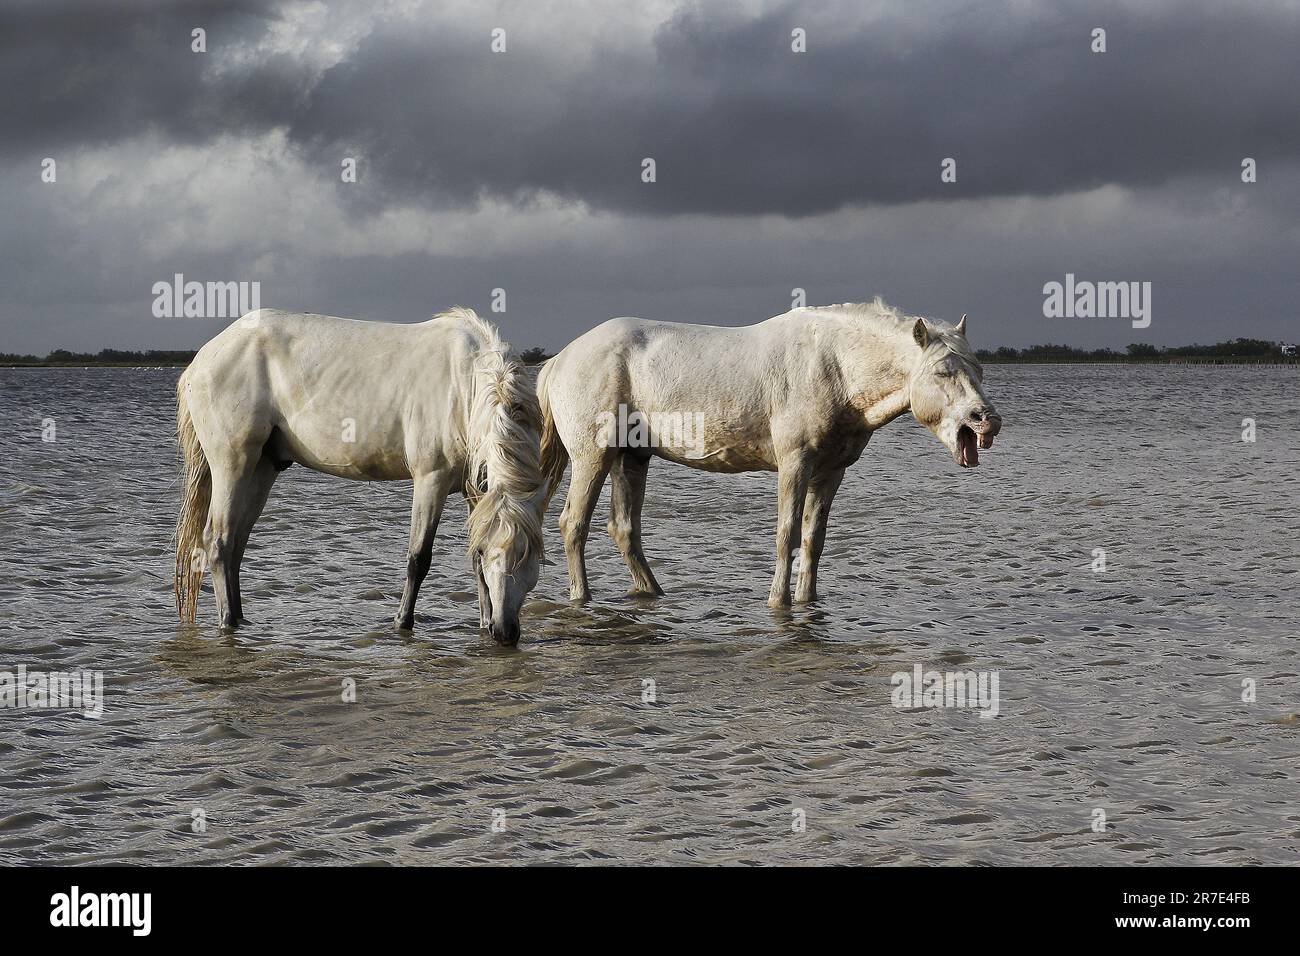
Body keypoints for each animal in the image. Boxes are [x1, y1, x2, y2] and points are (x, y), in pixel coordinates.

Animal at [173, 307, 547, 645]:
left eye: (531, 554)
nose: (504, 632)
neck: (465, 382)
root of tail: (202, 360)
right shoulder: (431, 478)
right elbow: (419, 559)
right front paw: (402, 623)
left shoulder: (475, 489)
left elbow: (471, 560)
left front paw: (483, 623)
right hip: (232, 463)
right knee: (218, 542)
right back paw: (227, 623)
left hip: (262, 469)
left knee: (236, 545)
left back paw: (240, 619)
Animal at [537, 298, 1004, 607]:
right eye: (943, 372)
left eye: (978, 369)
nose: (988, 420)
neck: (833, 366)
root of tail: (561, 358)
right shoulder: (795, 463)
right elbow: (787, 534)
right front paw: (778, 601)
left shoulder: (831, 471)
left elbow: (814, 538)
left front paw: (807, 600)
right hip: (593, 458)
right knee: (572, 524)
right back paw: (581, 596)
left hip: (632, 458)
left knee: (623, 530)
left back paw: (652, 591)